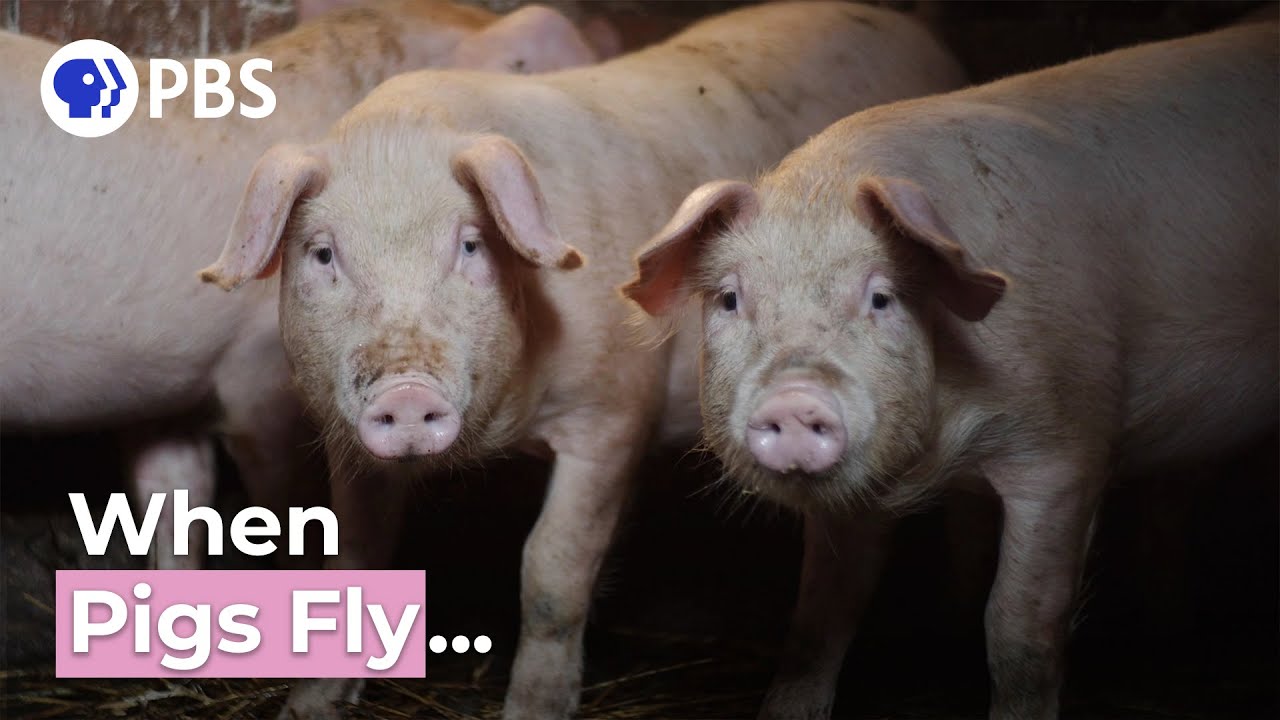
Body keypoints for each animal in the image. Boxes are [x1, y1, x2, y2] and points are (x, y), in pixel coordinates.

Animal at [197, 3, 967, 717]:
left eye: (472, 244)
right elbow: (355, 553)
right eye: (323, 254)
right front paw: (308, 705)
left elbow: (551, 570)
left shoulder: (613, 415)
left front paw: (535, 706)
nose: (407, 390)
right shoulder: (345, 436)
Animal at [622, 21, 1278, 720]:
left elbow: (1020, 629)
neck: (944, 452)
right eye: (729, 299)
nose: (796, 398)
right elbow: (819, 620)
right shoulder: (853, 506)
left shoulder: (1066, 452)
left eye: (883, 297)